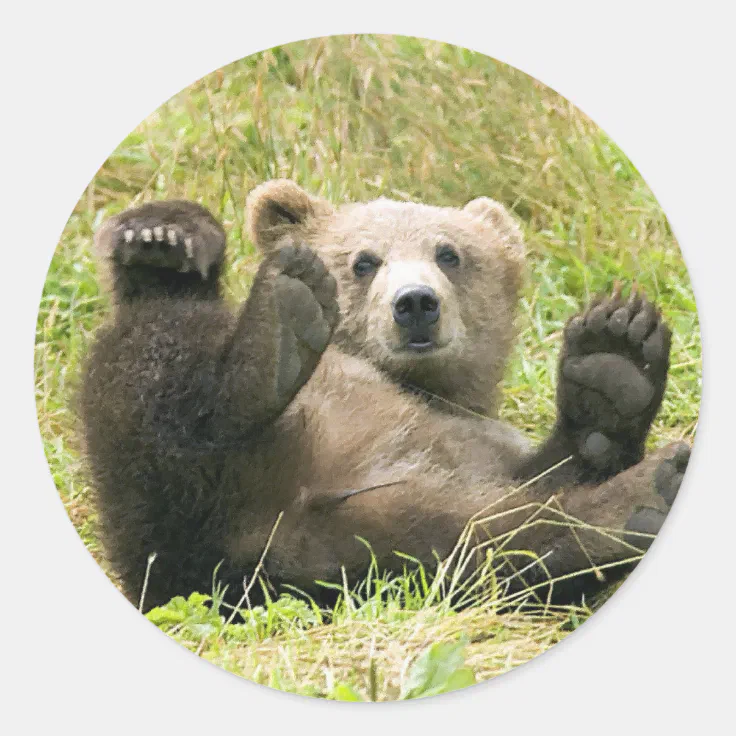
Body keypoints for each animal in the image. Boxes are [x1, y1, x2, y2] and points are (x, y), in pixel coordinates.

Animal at [80, 180, 690, 612]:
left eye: (450, 254)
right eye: (364, 260)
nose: (415, 303)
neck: (419, 386)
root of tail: (259, 533)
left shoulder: (476, 443)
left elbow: (552, 471)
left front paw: (613, 359)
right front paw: (162, 235)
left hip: (366, 540)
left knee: (490, 542)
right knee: (156, 363)